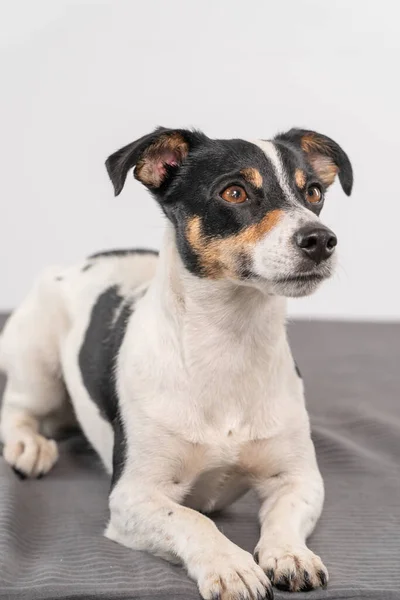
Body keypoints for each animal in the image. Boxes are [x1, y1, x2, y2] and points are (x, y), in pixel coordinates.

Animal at [0, 124, 352, 596]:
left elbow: (284, 516)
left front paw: (289, 553)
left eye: (313, 192)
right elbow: (192, 519)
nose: (321, 240)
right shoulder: (133, 496)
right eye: (235, 192)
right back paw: (29, 445)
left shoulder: (298, 478)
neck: (229, 343)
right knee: (17, 409)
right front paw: (231, 565)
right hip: (37, 363)